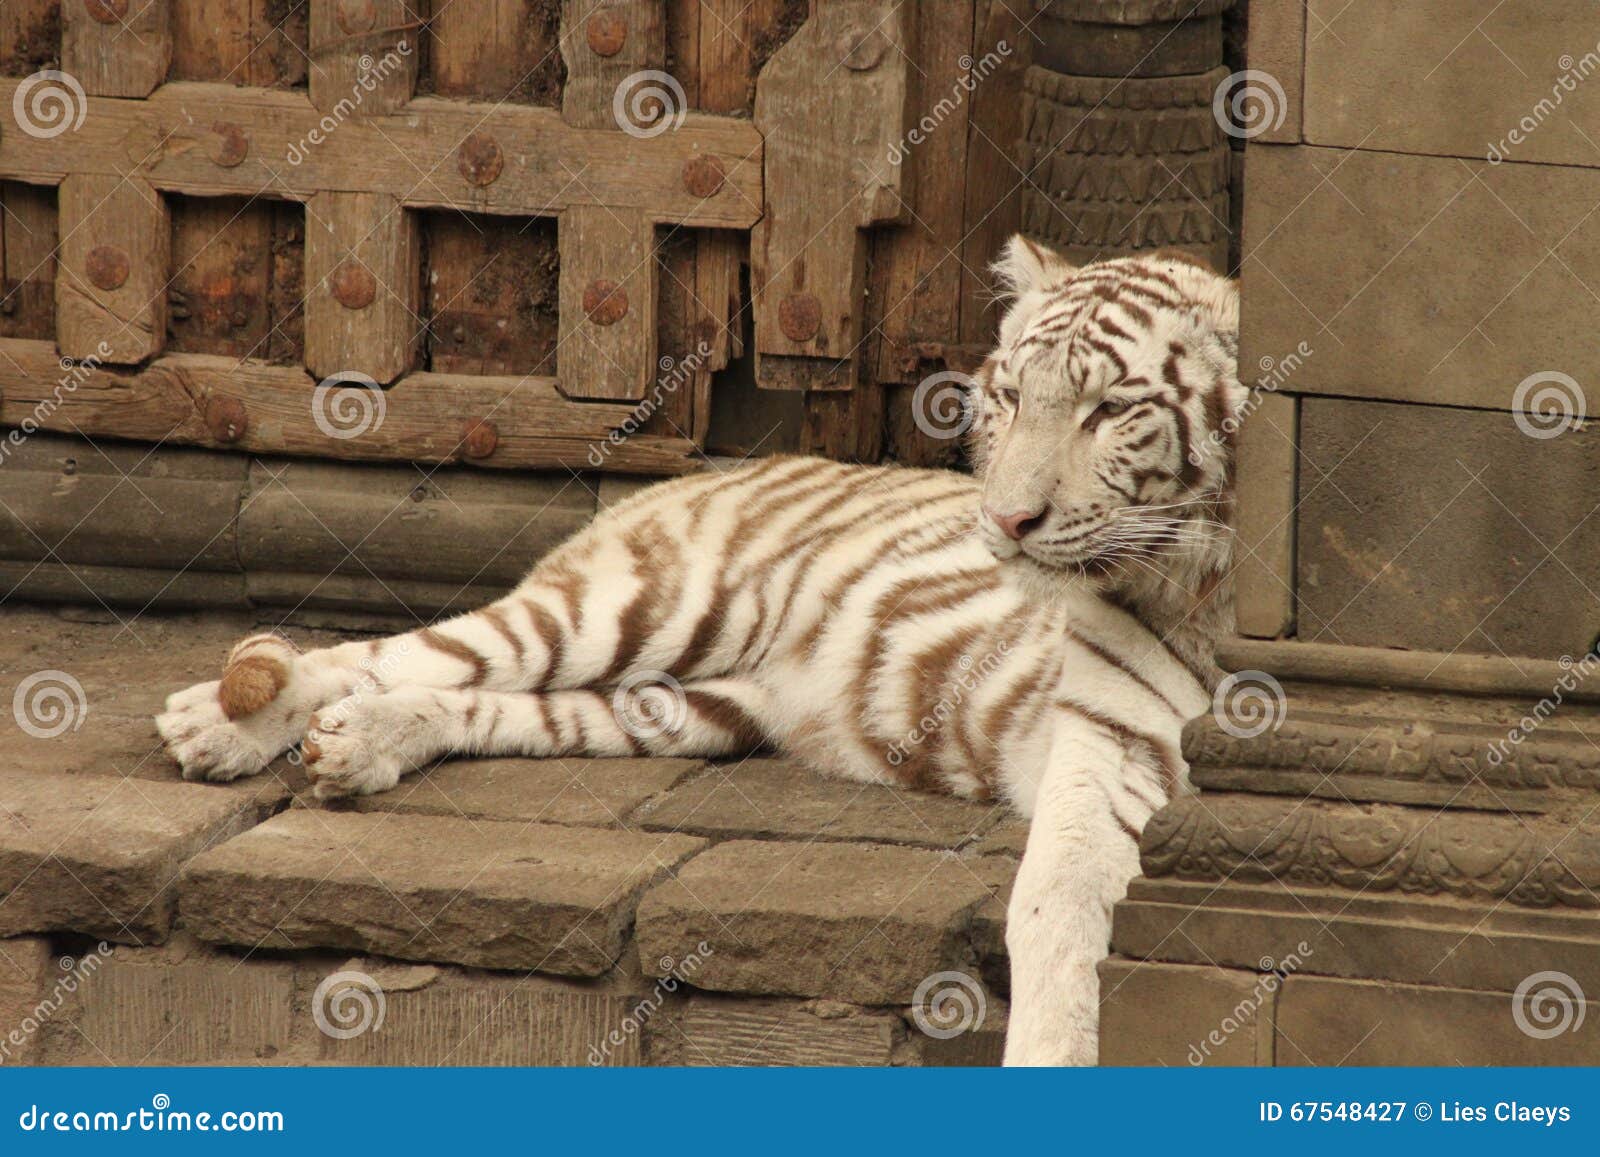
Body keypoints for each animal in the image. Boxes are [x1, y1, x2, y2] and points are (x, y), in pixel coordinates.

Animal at [155, 235, 1245, 1066]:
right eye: (1011, 398)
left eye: (1111, 410)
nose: (1006, 521)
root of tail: (701, 464)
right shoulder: (1105, 743)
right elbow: (1060, 918)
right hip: (638, 609)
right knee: (397, 650)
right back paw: (217, 722)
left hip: (679, 709)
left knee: (471, 699)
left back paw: (357, 746)